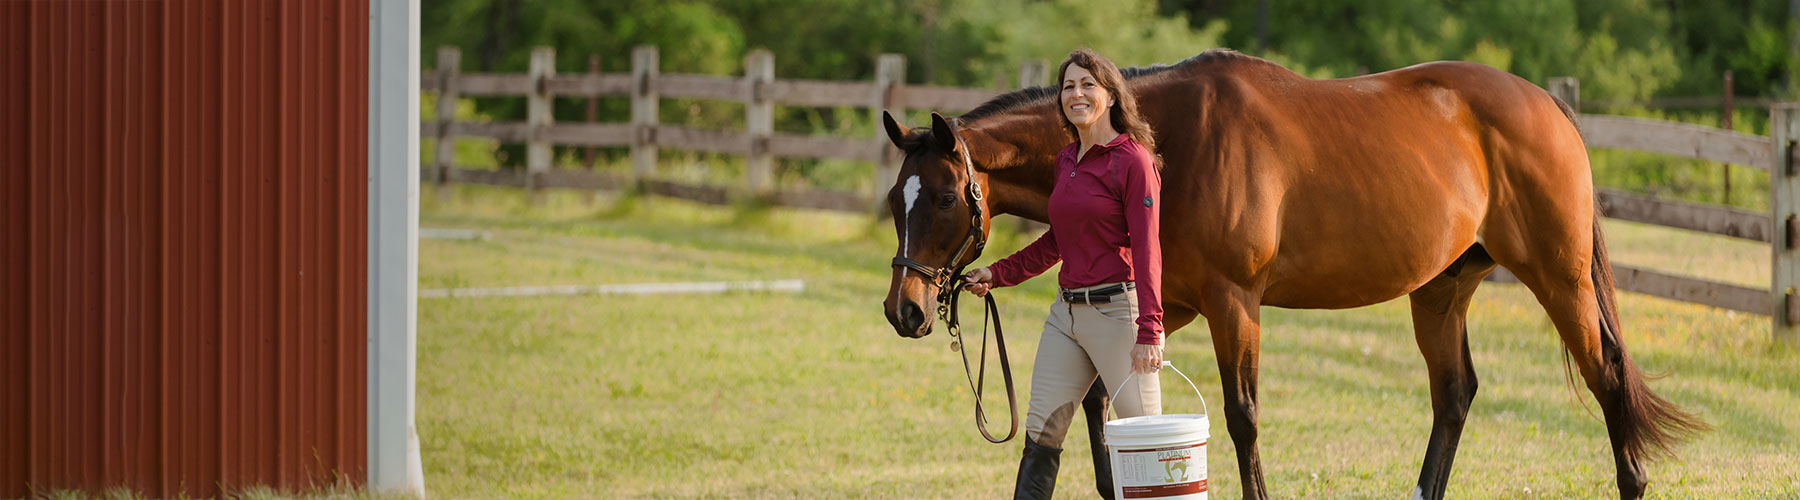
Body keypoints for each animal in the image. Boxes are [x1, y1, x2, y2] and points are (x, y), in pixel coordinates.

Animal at [879, 49, 1705, 500]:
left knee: (1606, 378)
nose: (905, 310)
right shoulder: (1171, 302)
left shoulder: (1231, 302)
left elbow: (1241, 417)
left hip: (1559, 278)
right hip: (1442, 289)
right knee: (1455, 395)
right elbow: (1098, 409)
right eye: (897, 198)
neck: (1171, 141)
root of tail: (1549, 108)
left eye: (946, 197)